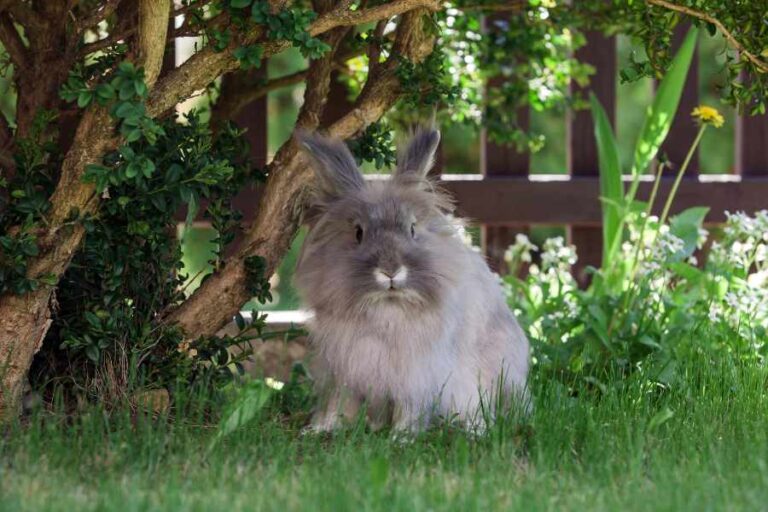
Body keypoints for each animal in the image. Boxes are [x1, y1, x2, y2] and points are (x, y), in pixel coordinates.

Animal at [294, 127, 530, 433]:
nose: (391, 270)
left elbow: (411, 407)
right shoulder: (343, 368)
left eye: (412, 229)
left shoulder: (417, 375)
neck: (387, 309)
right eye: (358, 233)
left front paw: (402, 436)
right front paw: (322, 429)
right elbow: (338, 400)